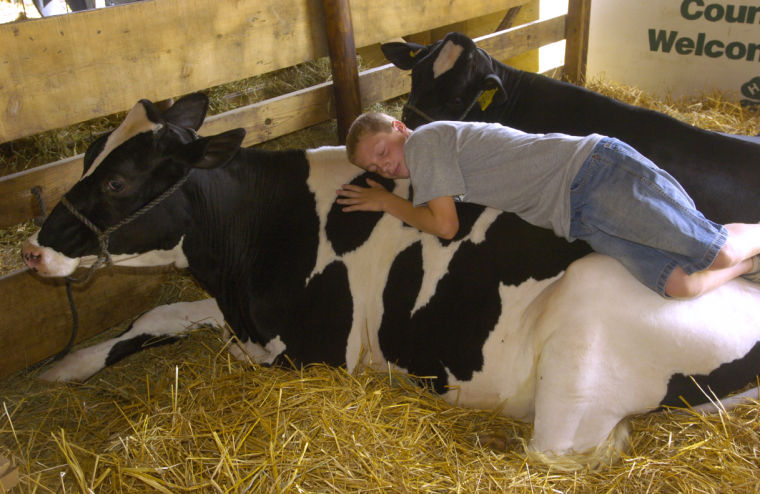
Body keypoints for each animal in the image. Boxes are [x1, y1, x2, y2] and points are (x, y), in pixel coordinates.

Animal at [21, 93, 760, 470]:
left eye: (118, 181)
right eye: (87, 157)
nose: (31, 252)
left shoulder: (312, 352)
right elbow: (160, 316)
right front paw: (68, 365)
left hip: (586, 326)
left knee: (568, 450)